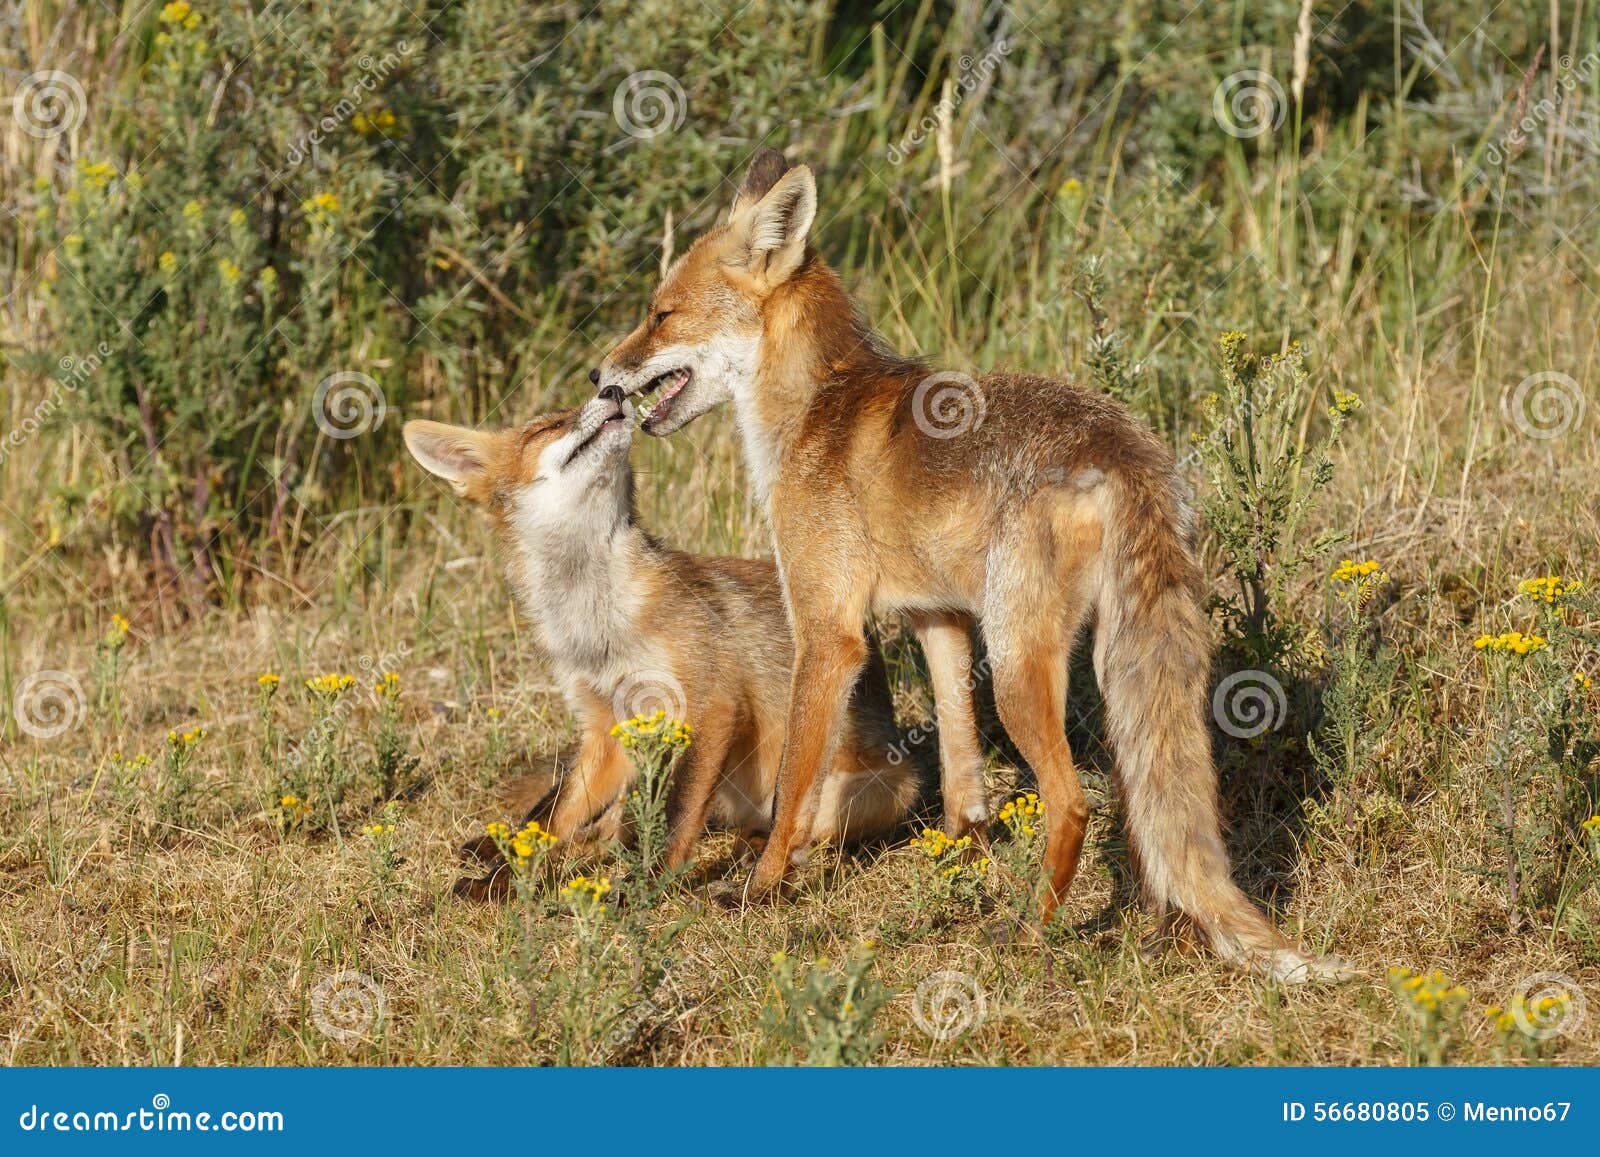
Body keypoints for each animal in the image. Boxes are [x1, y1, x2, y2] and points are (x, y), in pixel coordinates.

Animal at [403, 391, 921, 896]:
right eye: (547, 427)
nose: (612, 391)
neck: (600, 625)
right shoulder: (606, 728)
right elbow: (554, 816)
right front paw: (506, 879)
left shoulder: (712, 704)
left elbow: (678, 812)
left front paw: (646, 887)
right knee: (605, 828)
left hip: (864, 791)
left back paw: (748, 849)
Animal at [594, 149, 1348, 982]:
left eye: (662, 315)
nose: (600, 376)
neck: (813, 408)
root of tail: (1119, 442)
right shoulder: (938, 617)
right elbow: (962, 774)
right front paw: (962, 857)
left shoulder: (830, 632)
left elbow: (793, 783)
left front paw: (761, 886)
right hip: (1093, 653)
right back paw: (1145, 927)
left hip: (1019, 663)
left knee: (1074, 803)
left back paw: (1029, 931)